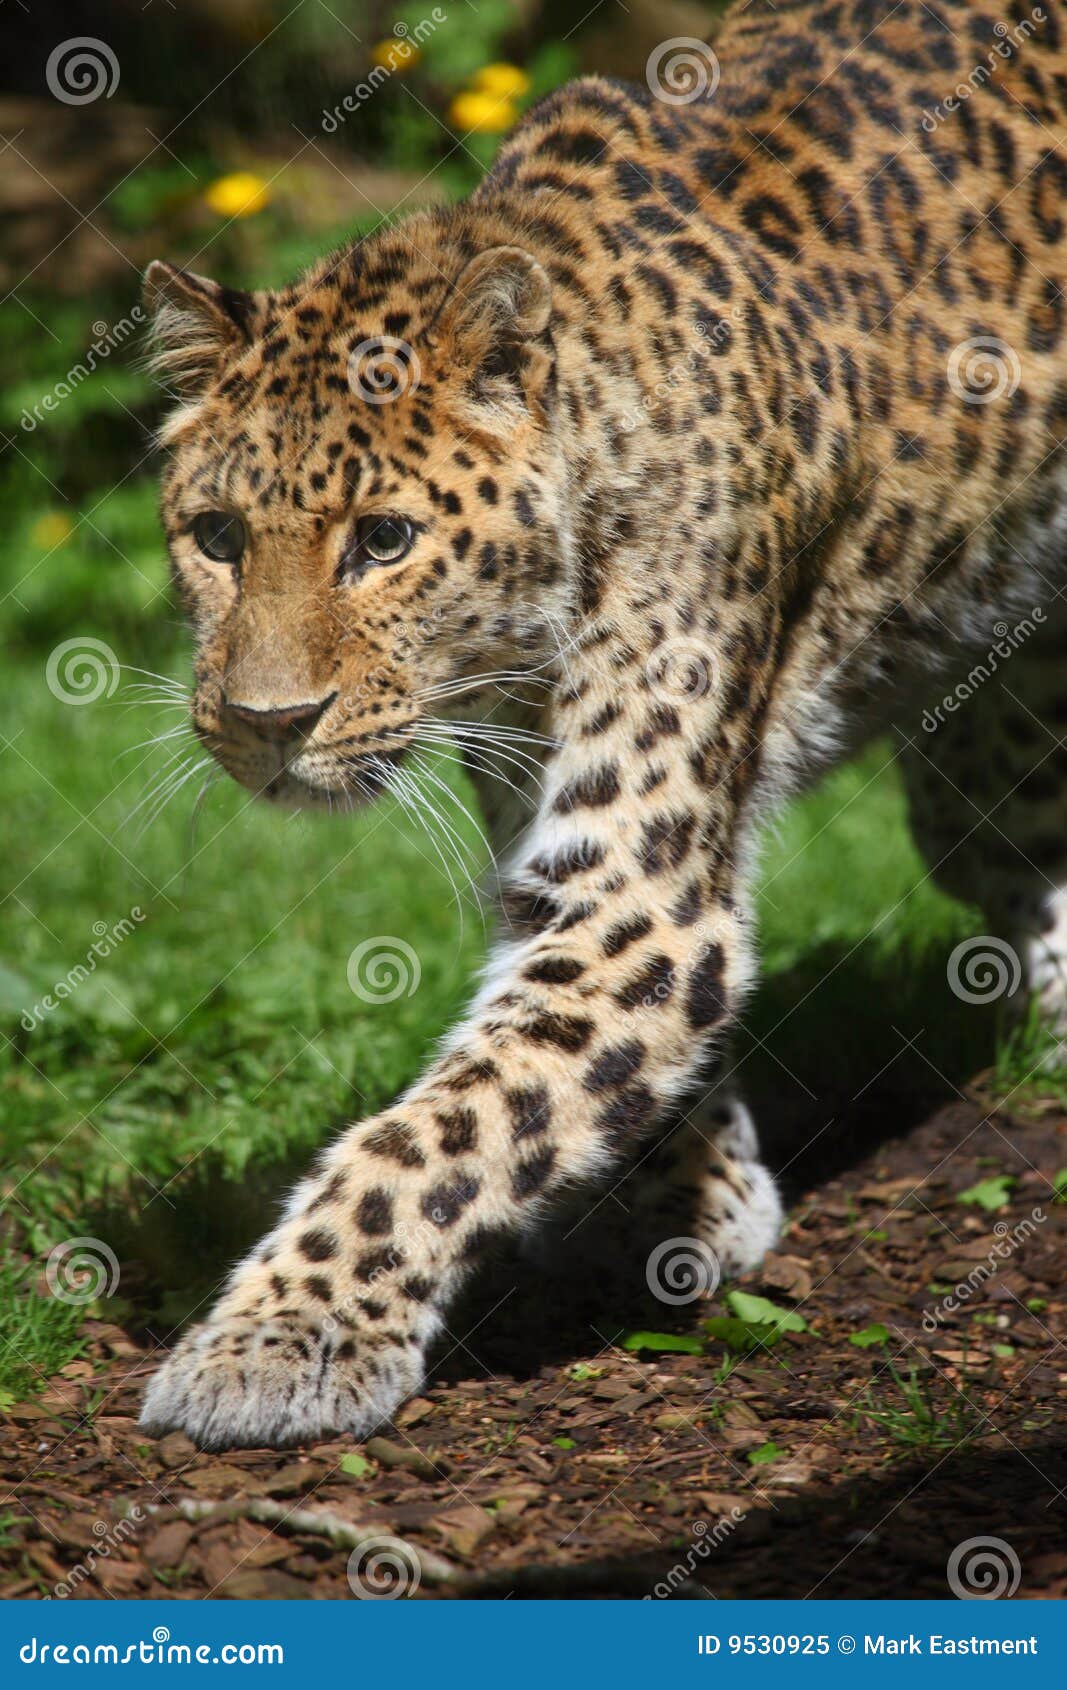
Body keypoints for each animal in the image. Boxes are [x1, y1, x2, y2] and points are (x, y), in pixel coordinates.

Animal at [138, 0, 1067, 1449]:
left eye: (382, 540)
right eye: (217, 537)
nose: (262, 722)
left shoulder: (634, 892)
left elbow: (428, 1135)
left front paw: (272, 1340)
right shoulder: (562, 850)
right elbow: (563, 1060)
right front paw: (696, 1197)